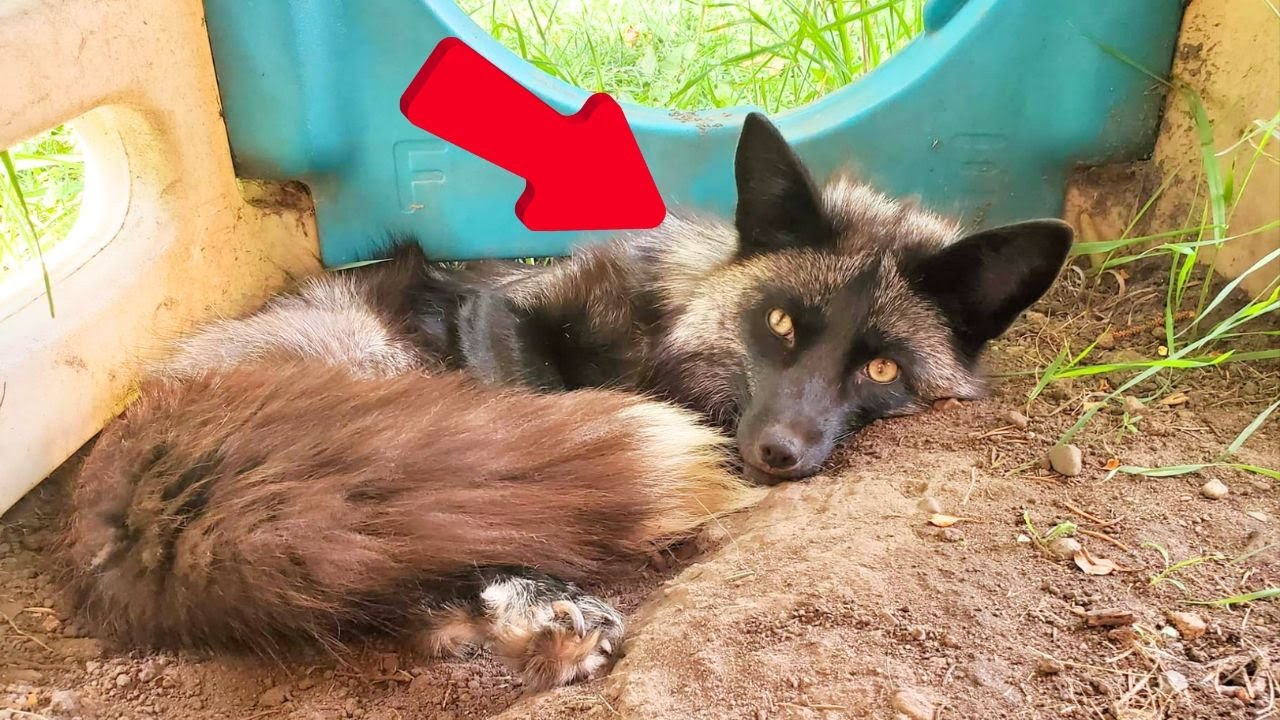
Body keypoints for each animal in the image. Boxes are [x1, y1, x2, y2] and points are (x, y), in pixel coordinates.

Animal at [62, 113, 1072, 691]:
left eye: (883, 371)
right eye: (783, 321)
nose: (778, 453)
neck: (668, 341)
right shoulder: (499, 312)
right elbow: (540, 419)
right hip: (389, 389)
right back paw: (548, 612)